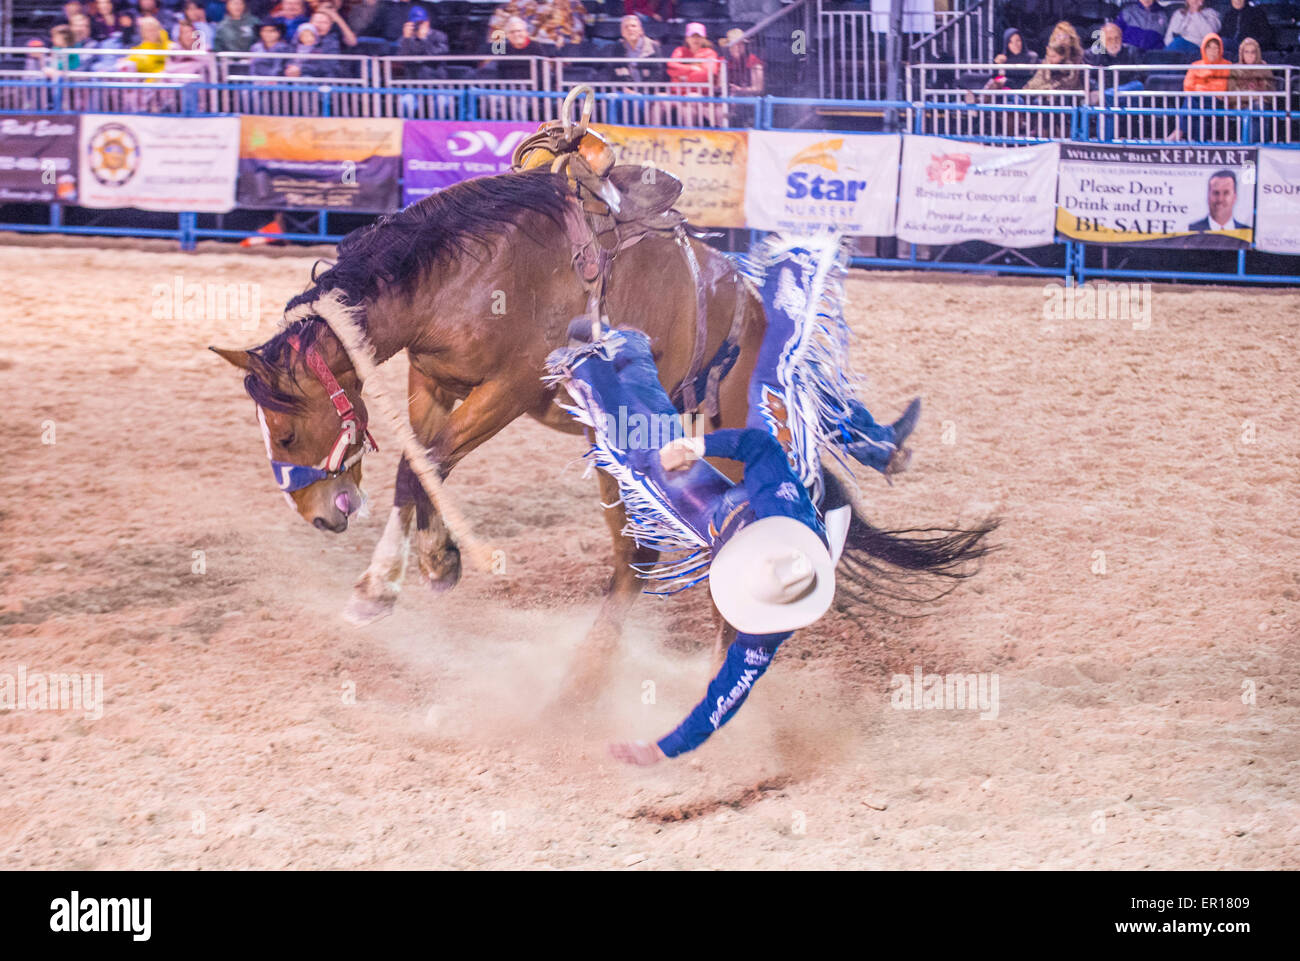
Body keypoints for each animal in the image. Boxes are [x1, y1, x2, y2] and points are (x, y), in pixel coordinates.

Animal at [212, 169, 996, 693]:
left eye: (285, 435)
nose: (318, 515)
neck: (468, 272)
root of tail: (752, 308)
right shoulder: (432, 385)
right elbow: (424, 469)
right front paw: (411, 574)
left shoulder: (510, 390)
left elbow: (418, 468)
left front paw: (406, 577)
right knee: (640, 558)